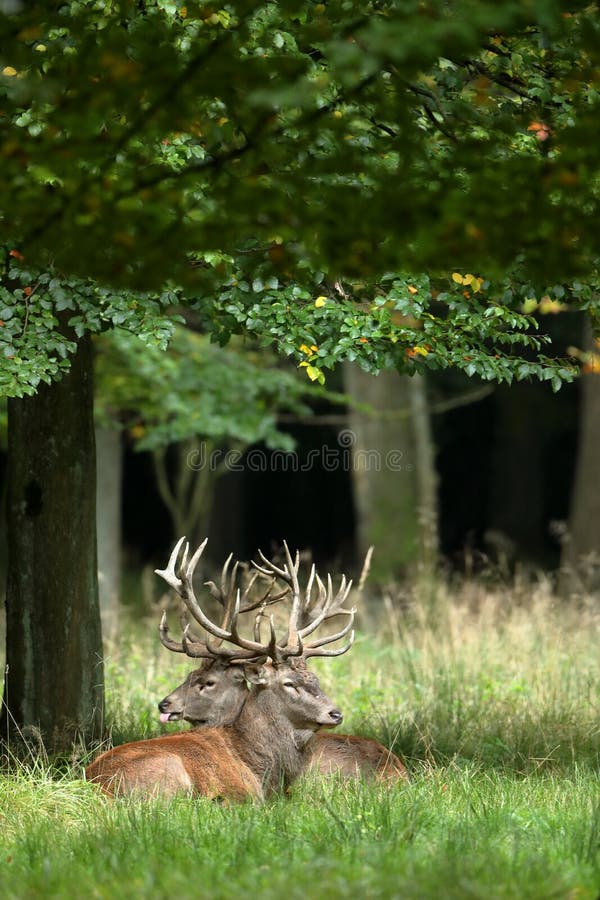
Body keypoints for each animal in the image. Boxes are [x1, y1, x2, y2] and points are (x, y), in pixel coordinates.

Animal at [86, 537, 353, 800]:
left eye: (315, 680)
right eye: (289, 683)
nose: (335, 713)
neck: (262, 768)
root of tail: (97, 786)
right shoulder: (244, 795)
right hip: (169, 771)